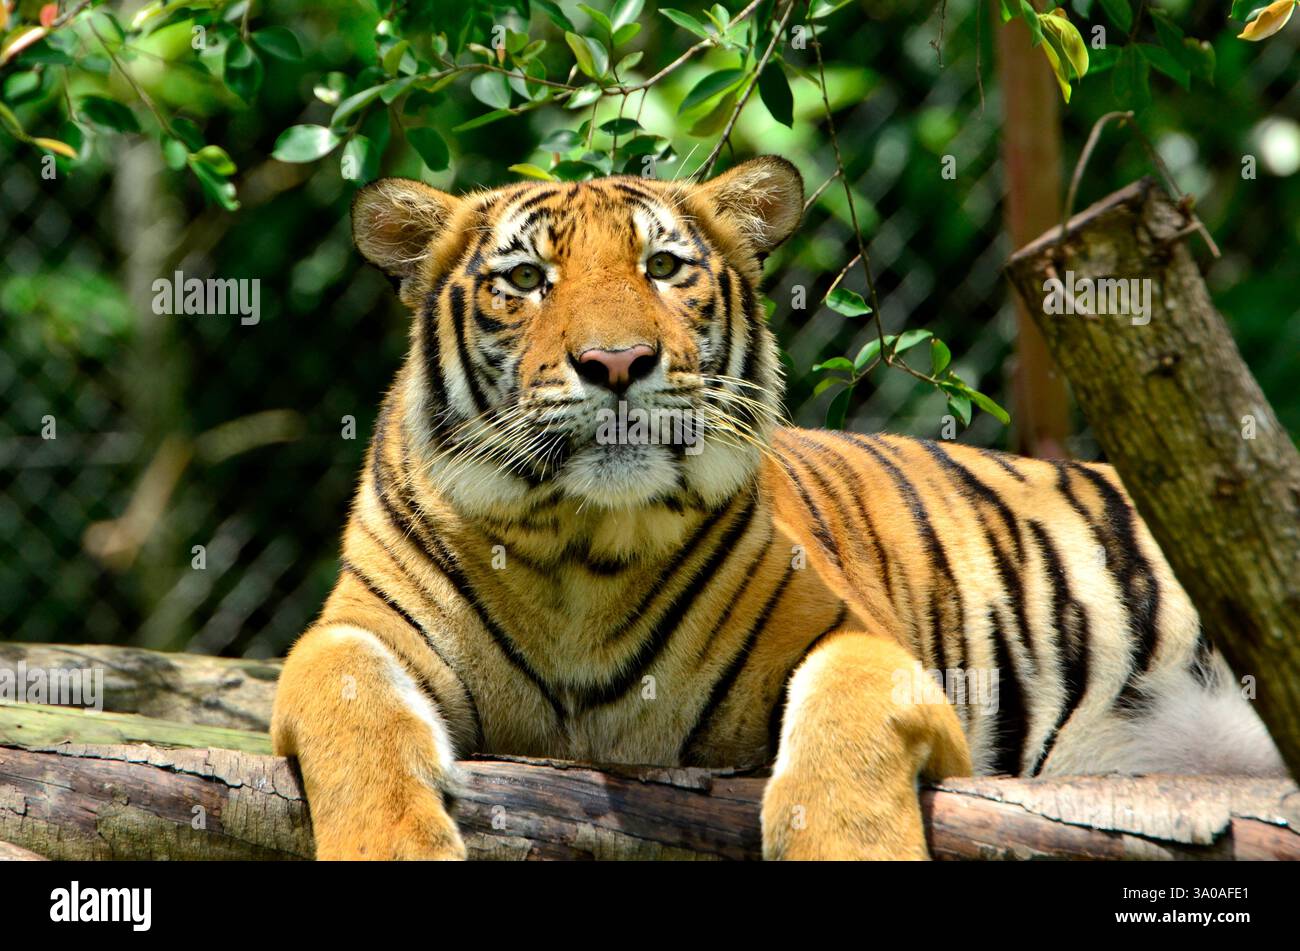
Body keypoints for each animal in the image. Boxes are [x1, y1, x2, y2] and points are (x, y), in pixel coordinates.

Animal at [270, 155, 1284, 860]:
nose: (615, 363)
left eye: (664, 265)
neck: (579, 553)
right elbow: (353, 717)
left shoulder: (864, 645)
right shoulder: (350, 633)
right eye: (524, 281)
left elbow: (841, 732)